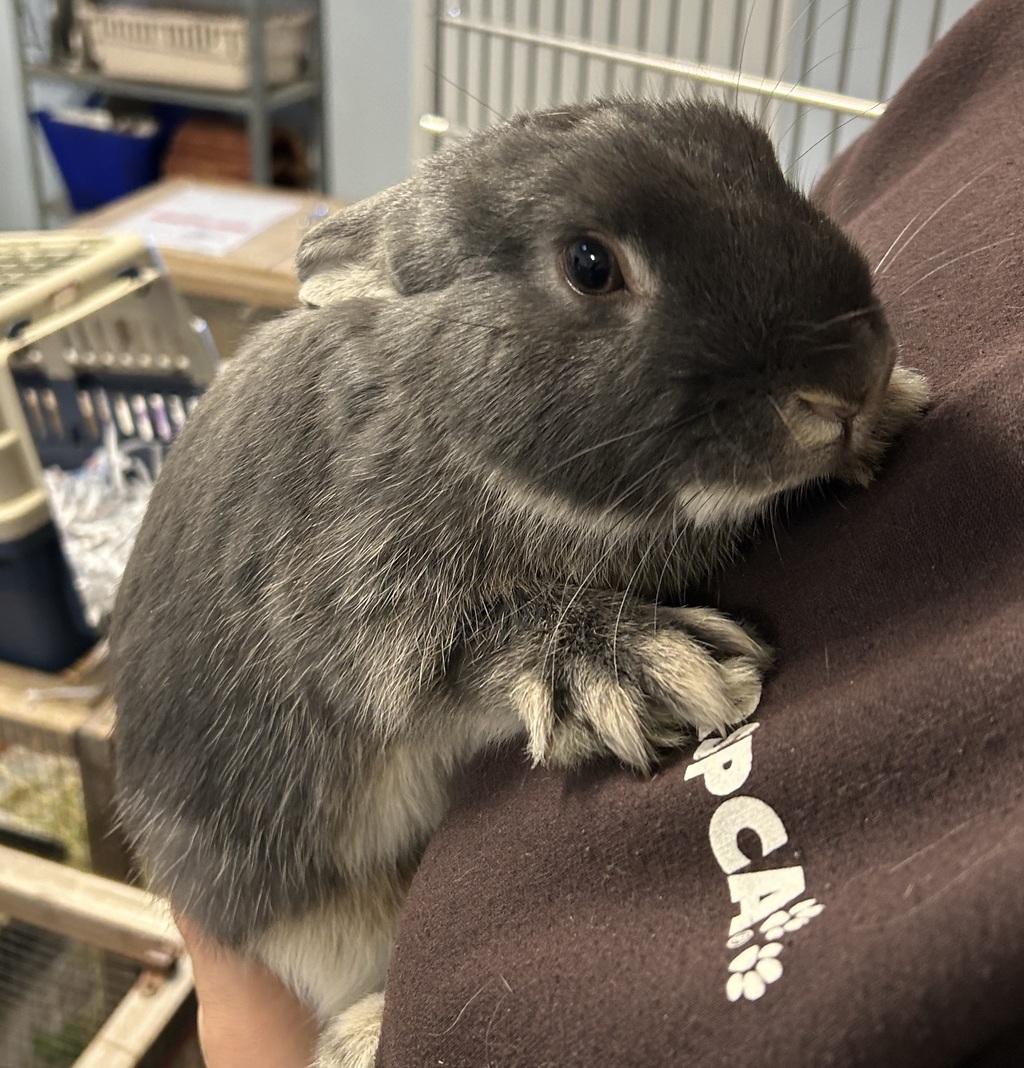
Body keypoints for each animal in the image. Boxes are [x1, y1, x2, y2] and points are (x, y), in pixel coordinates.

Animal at [110, 97, 929, 1067]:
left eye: (761, 157)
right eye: (590, 264)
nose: (852, 378)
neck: (440, 411)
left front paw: (895, 408)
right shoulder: (378, 627)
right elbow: (478, 650)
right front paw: (642, 669)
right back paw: (359, 1036)